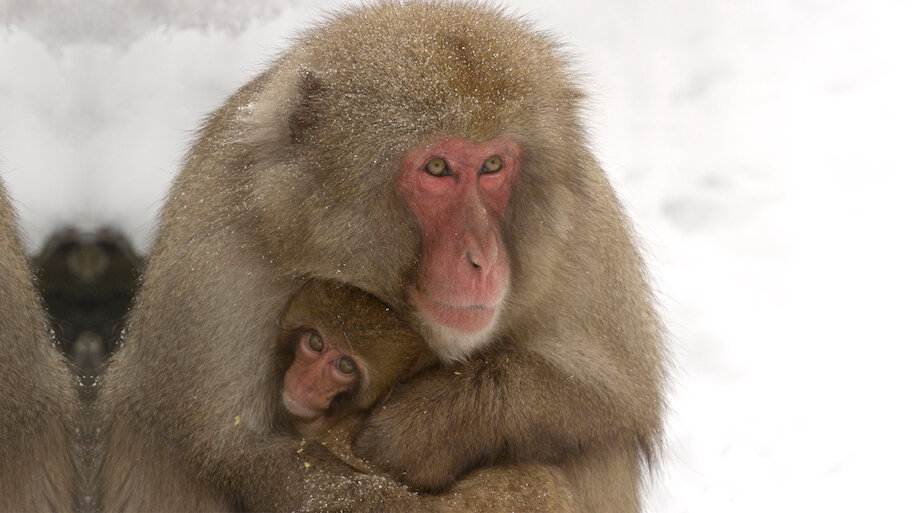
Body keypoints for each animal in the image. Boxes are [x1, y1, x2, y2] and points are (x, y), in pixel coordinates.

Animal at [98, 2, 666, 512]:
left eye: (493, 165)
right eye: (437, 168)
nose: (482, 258)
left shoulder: (582, 238)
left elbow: (609, 402)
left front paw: (425, 428)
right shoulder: (213, 261)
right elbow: (241, 458)